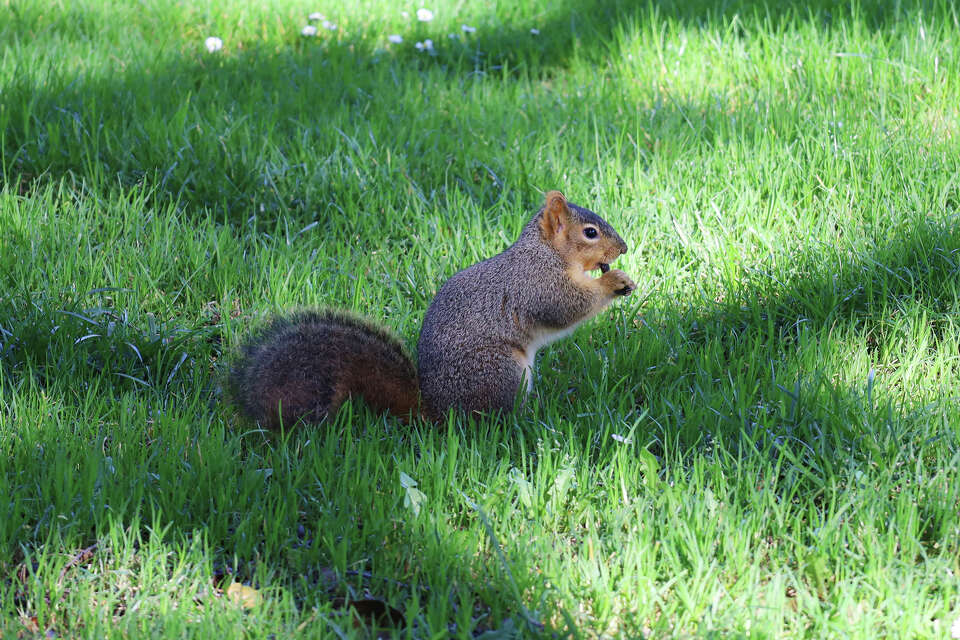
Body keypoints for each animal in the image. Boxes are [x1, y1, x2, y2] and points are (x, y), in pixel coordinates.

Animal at [230, 190, 635, 427]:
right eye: (590, 233)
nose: (624, 248)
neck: (545, 253)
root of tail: (434, 410)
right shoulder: (537, 285)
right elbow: (567, 306)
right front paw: (613, 282)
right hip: (501, 370)